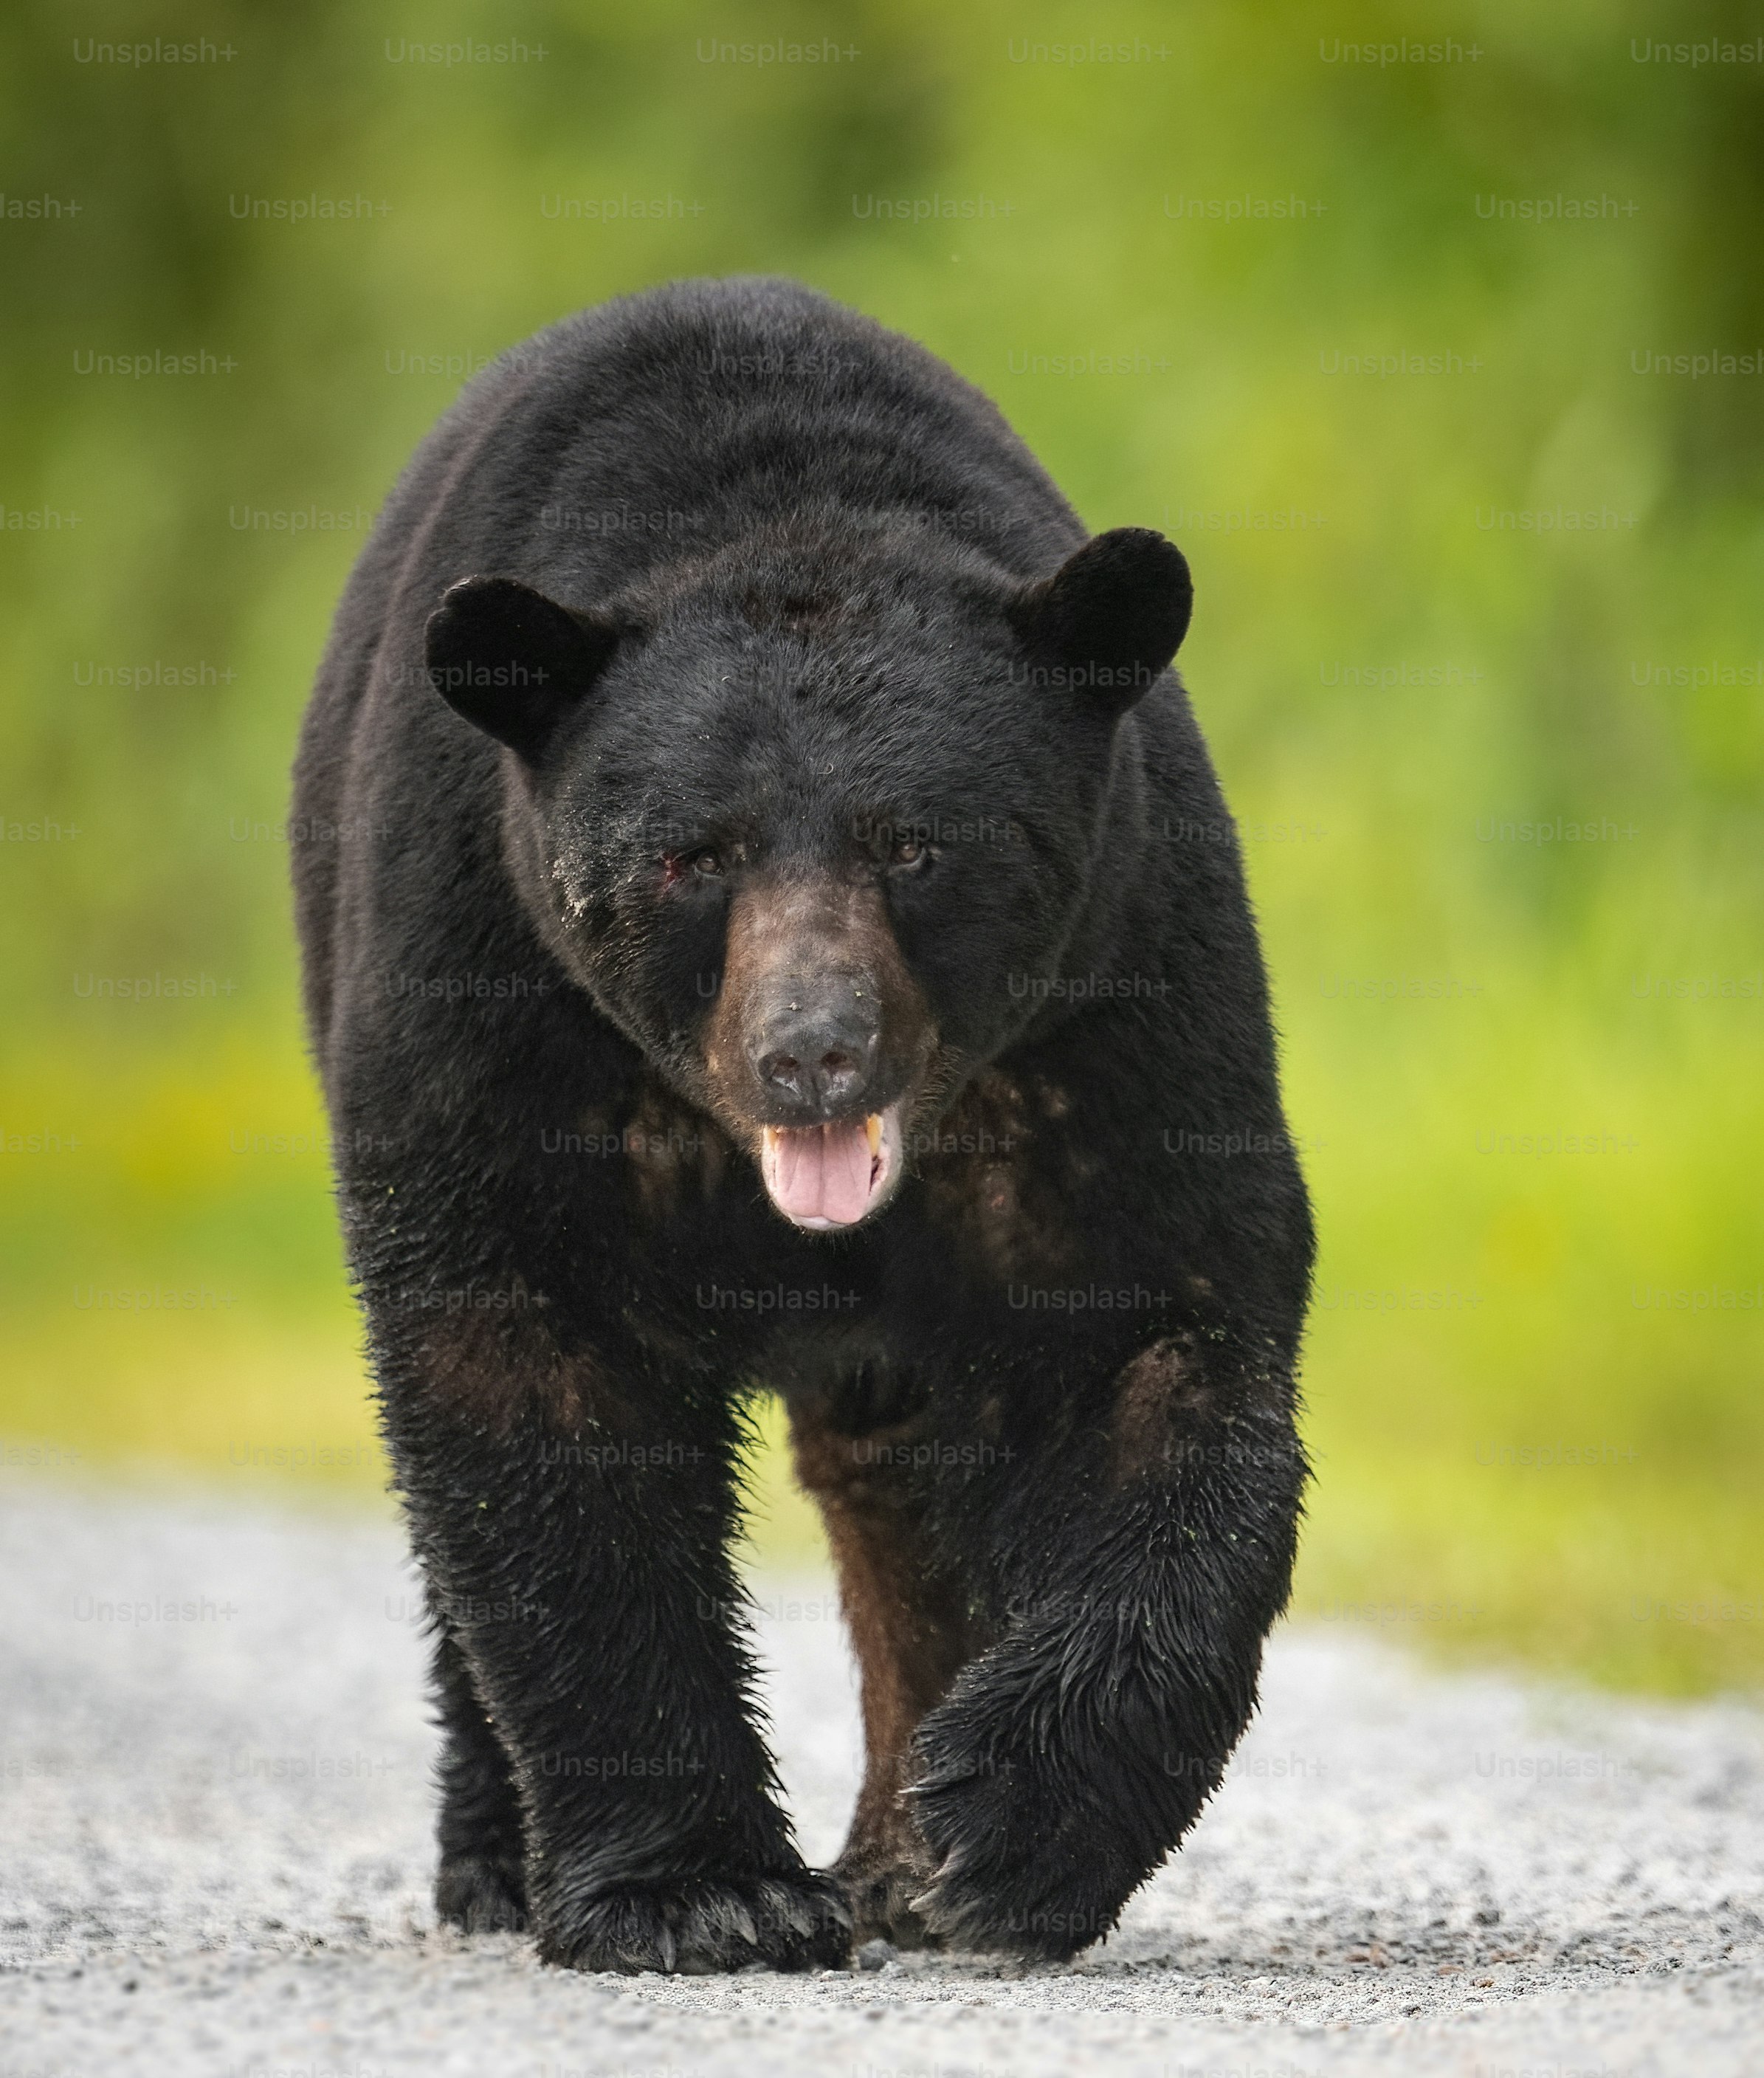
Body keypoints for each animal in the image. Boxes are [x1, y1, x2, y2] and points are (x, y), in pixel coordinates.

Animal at [291, 275, 1313, 1975]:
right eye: (689, 855)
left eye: (916, 841)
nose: (812, 1055)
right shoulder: (494, 993)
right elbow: (533, 1382)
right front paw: (699, 1892)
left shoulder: (1115, 1005)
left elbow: (1154, 1346)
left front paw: (1004, 1828)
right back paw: (495, 1860)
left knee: (898, 1491)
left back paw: (894, 1850)